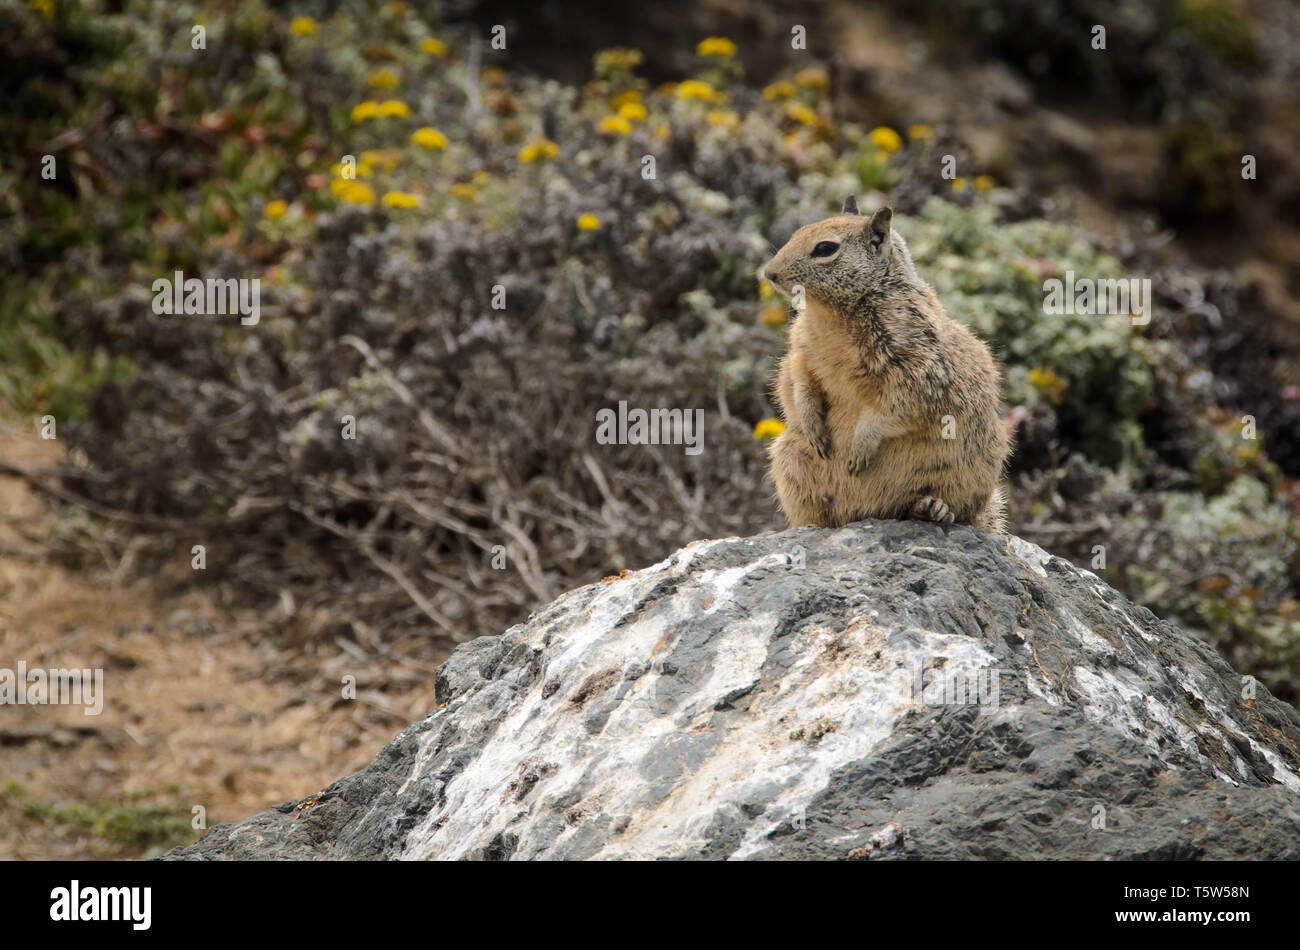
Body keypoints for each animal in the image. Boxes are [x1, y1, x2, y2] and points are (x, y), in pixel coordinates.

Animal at [763, 196, 1010, 532]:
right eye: (798, 231)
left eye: (825, 248)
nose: (769, 273)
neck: (830, 314)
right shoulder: (801, 353)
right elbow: (798, 382)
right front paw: (813, 425)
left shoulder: (918, 371)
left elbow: (890, 410)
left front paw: (860, 449)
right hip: (788, 456)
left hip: (971, 477)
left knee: (961, 511)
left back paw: (933, 508)